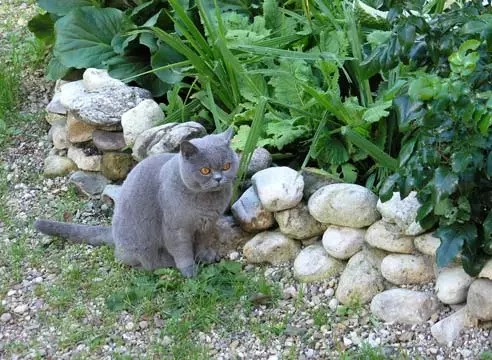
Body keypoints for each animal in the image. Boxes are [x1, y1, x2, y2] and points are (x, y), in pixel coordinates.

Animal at [35, 128, 239, 278]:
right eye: (205, 170)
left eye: (227, 166)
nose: (219, 179)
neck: (206, 203)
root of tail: (113, 233)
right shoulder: (175, 228)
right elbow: (182, 251)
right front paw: (190, 271)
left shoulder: (207, 224)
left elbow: (204, 242)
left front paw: (206, 256)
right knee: (127, 259)